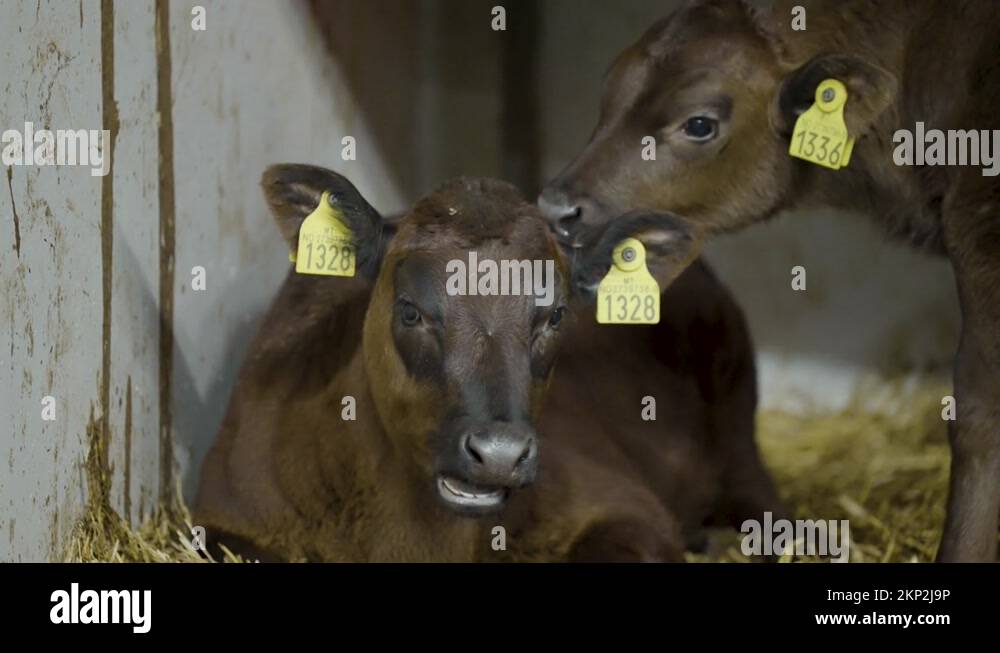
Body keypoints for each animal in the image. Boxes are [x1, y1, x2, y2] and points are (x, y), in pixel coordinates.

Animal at [193, 164, 783, 562]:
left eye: (556, 316)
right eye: (410, 309)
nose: (500, 454)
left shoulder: (626, 508)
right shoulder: (222, 518)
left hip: (740, 440)